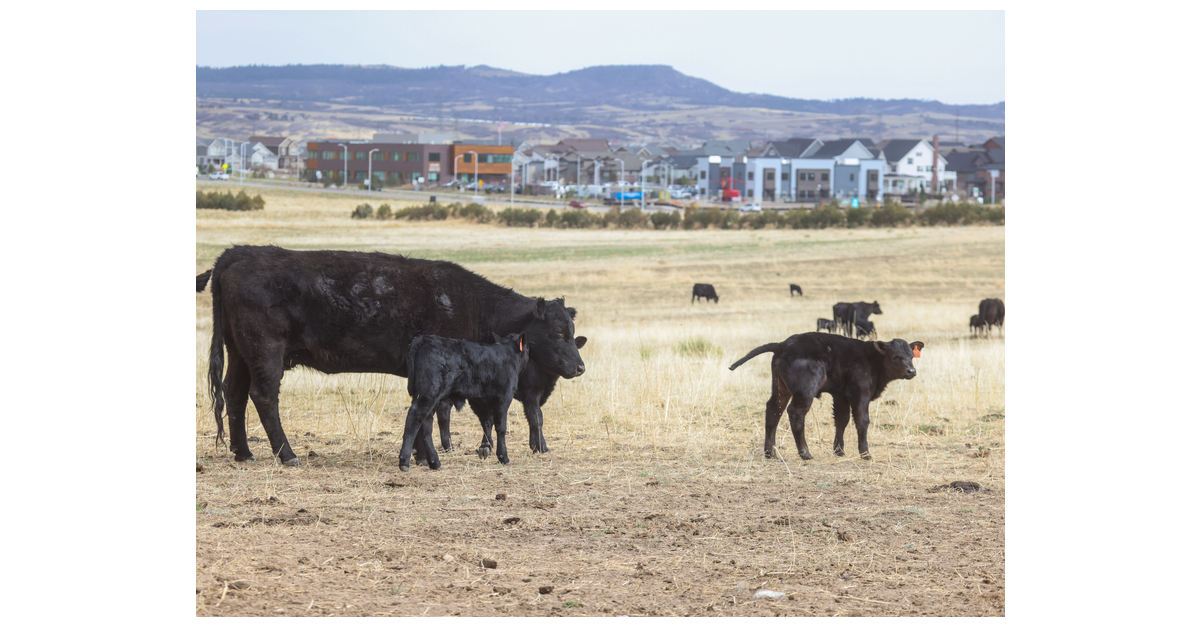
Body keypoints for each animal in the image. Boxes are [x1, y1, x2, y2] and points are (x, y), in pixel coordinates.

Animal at [398, 333, 529, 471]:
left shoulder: (479, 399)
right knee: (414, 417)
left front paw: (485, 447)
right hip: (430, 392)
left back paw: (435, 462)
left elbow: (487, 421)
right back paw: (404, 461)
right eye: (527, 348)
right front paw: (503, 457)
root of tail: (425, 338)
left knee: (426, 423)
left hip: (428, 396)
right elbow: (501, 427)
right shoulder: (504, 396)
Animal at [729, 332, 924, 460]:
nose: (911, 371)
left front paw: (839, 451)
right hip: (804, 393)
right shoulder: (861, 395)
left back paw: (770, 452)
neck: (872, 359)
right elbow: (862, 421)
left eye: (911, 355)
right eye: (895, 356)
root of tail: (783, 344)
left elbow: (841, 421)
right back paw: (805, 453)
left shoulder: (840, 397)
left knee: (773, 410)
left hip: (780, 390)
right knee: (795, 413)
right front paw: (865, 453)